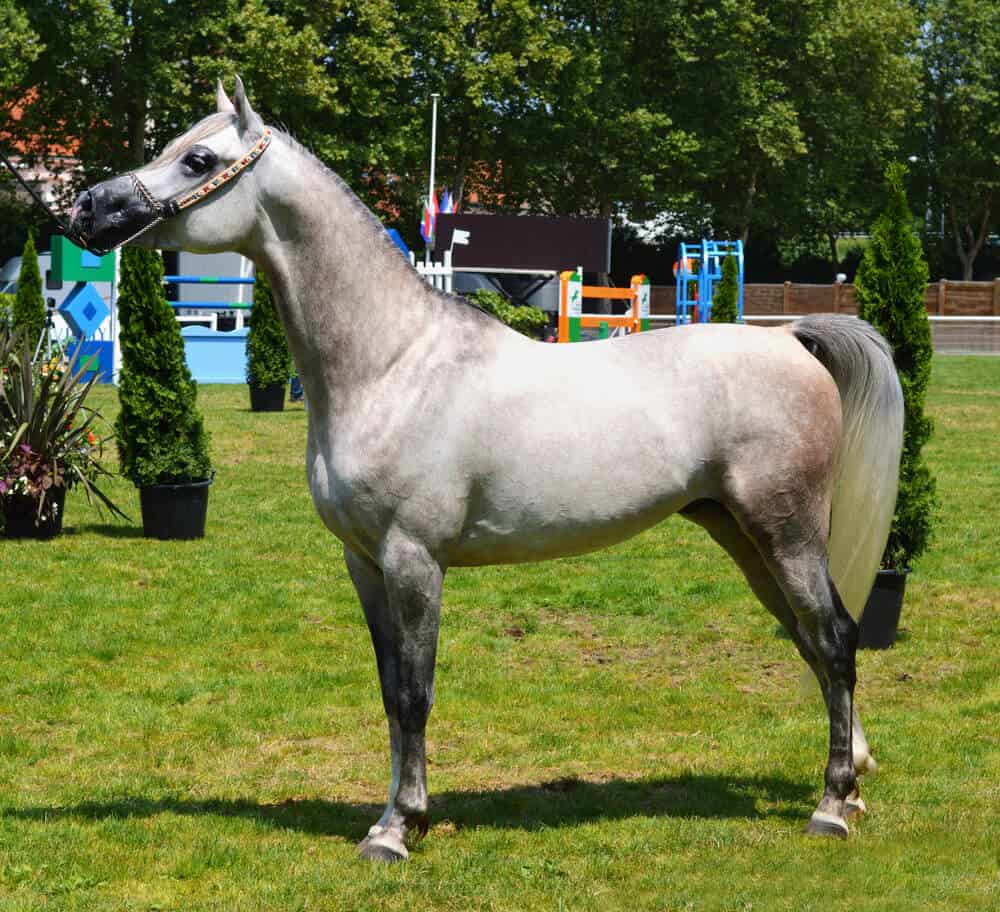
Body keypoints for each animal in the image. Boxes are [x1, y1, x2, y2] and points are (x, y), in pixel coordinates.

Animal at [69, 78, 903, 861]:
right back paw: (856, 781)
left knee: (835, 639)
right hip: (742, 534)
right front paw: (401, 811)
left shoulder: (414, 558)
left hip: (785, 531)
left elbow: (415, 693)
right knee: (811, 640)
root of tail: (789, 338)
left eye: (198, 160)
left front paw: (397, 827)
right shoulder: (364, 562)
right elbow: (388, 691)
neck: (392, 362)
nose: (87, 209)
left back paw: (831, 806)